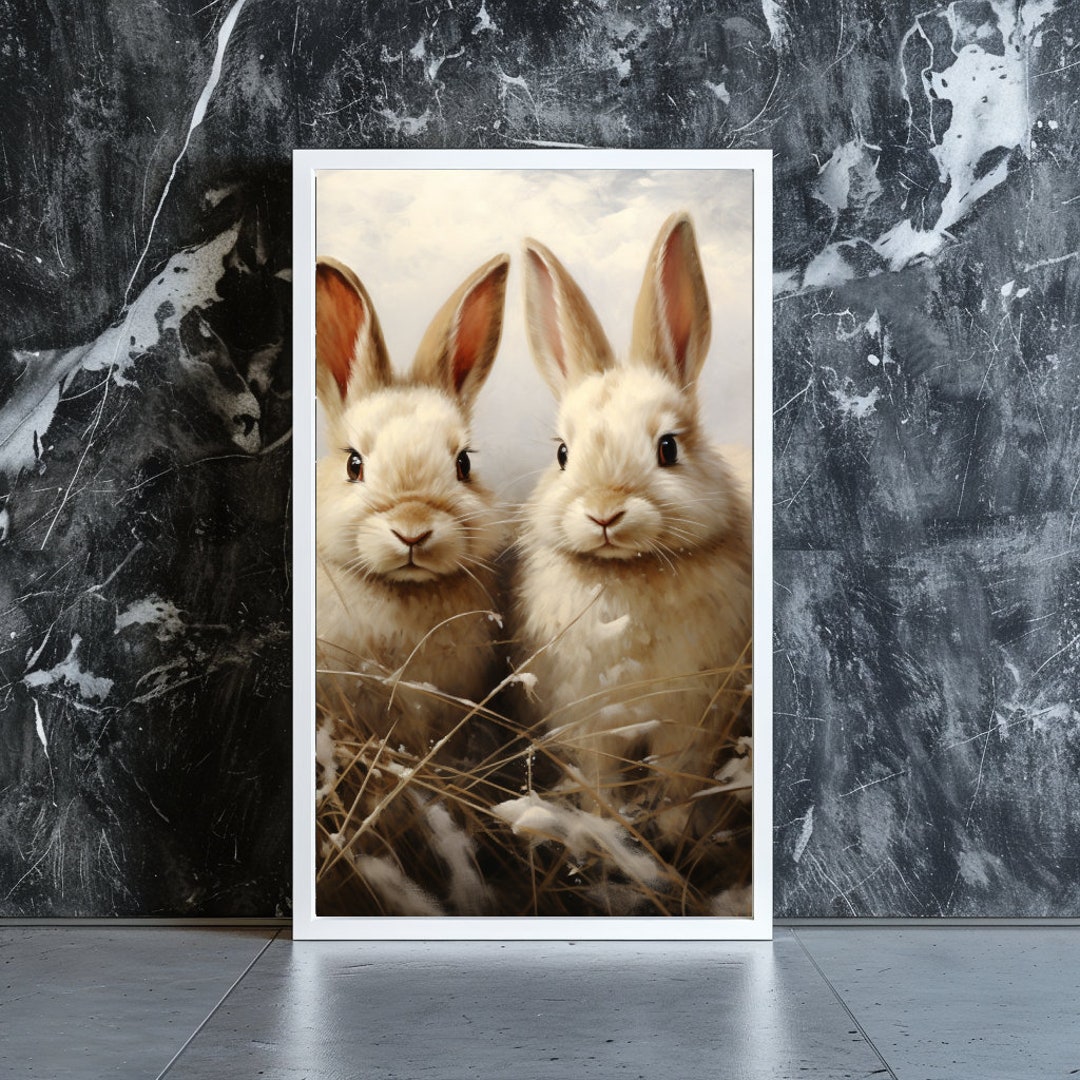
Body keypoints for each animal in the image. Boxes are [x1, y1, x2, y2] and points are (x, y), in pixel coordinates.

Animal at [513, 212, 753, 840]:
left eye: (668, 448)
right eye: (563, 454)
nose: (604, 512)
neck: (627, 573)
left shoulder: (689, 719)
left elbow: (675, 785)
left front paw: (667, 837)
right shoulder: (588, 718)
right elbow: (601, 784)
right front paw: (605, 832)